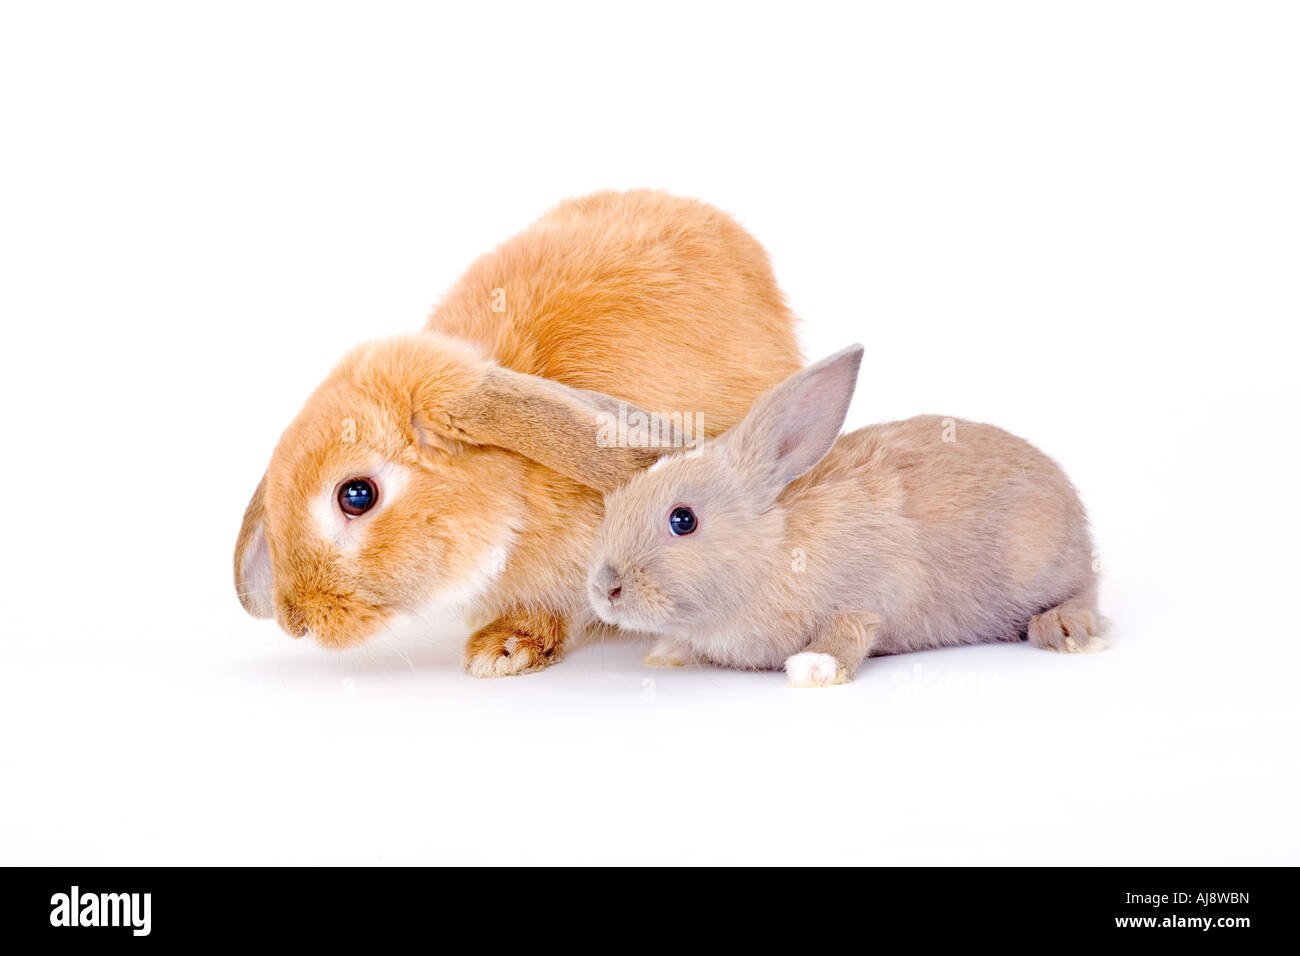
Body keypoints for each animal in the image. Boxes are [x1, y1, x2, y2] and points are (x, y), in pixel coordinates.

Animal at [587, 345, 1105, 686]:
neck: (773, 548)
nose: (605, 589)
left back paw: (1067, 632)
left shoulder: (871, 592)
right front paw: (668, 653)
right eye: (612, 507)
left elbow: (849, 630)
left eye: (683, 520)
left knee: (1085, 593)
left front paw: (814, 668)